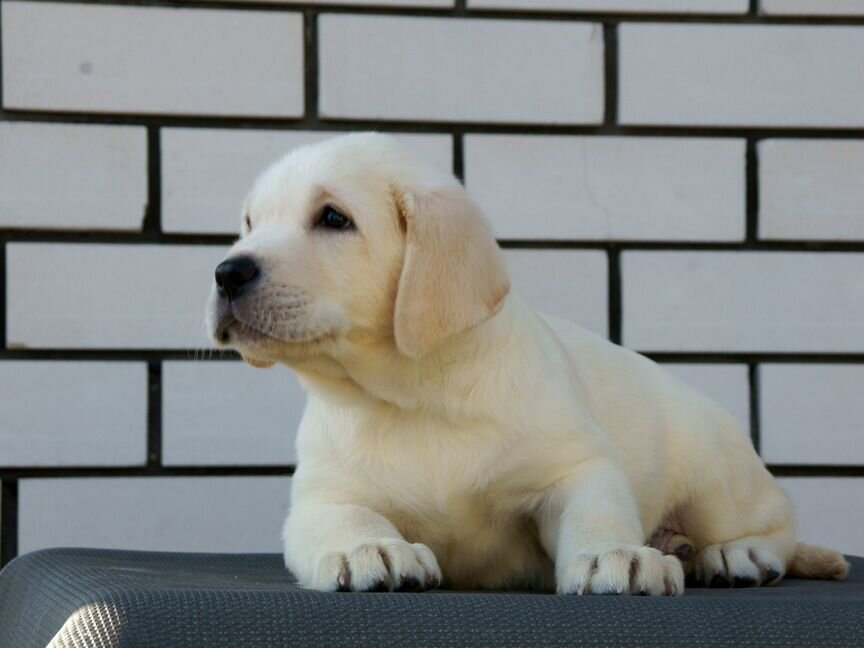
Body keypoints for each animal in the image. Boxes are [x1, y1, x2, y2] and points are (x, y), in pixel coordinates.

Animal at [208, 132, 852, 596]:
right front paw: (368, 548)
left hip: (717, 473)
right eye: (249, 224)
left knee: (778, 522)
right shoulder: (322, 496)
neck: (410, 393)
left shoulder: (576, 464)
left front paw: (612, 555)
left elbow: (596, 510)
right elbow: (345, 519)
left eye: (333, 218)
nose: (227, 272)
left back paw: (733, 552)